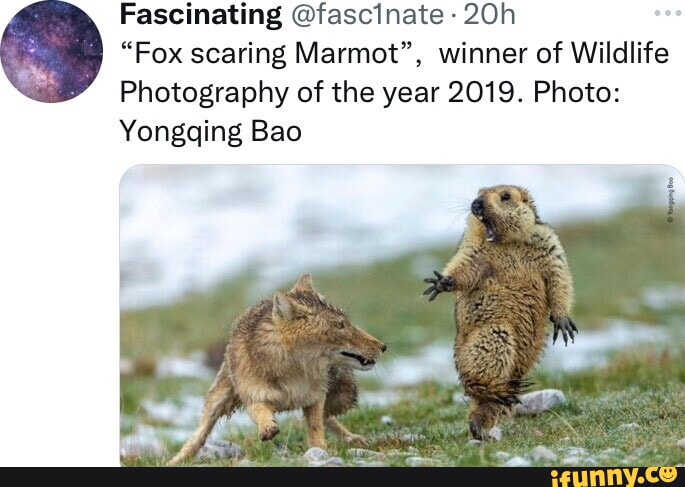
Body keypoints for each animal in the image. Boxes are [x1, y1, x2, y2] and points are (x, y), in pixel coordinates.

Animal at [168, 274, 387, 465]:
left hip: (344, 396)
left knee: (328, 417)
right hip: (217, 401)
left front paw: (321, 450)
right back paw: (177, 460)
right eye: (340, 326)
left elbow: (316, 427)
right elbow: (260, 412)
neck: (294, 372)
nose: (383, 346)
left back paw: (352, 439)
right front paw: (267, 428)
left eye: (346, 323)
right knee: (198, 436)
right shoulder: (255, 397)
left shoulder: (315, 397)